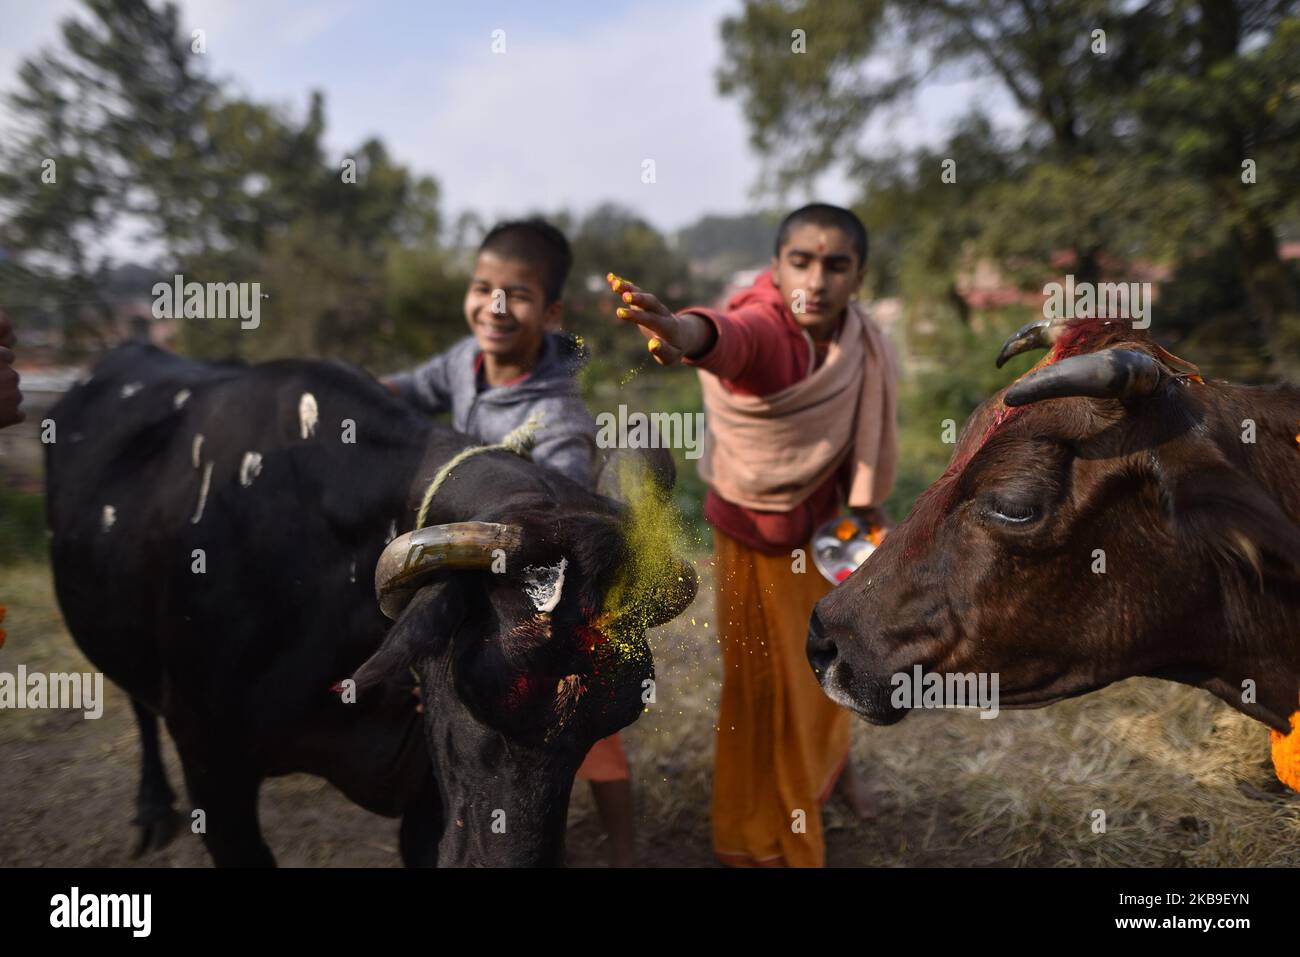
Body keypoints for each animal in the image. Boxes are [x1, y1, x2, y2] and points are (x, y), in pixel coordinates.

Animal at [44, 342, 697, 866]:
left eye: (613, 720)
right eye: (474, 699)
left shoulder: (428, 793)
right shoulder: (213, 772)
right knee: (137, 704)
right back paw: (152, 810)